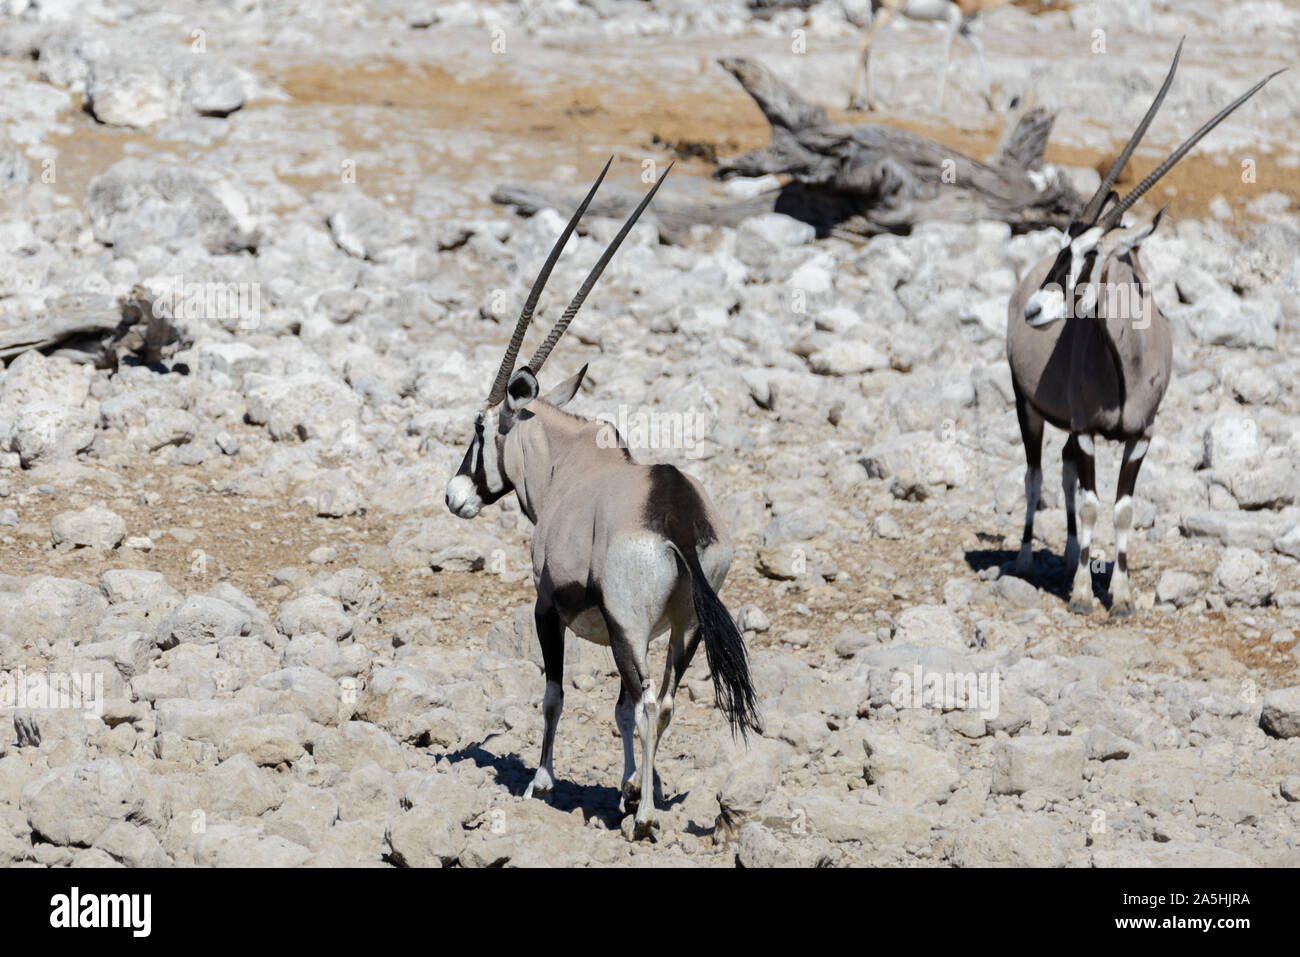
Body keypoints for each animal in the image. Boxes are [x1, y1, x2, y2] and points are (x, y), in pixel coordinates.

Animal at [444, 160, 761, 839]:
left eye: (480, 427)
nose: (456, 495)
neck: (570, 464)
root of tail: (675, 514)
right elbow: (616, 709)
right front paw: (625, 785)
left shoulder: (546, 607)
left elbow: (556, 694)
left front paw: (542, 780)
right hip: (685, 629)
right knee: (659, 703)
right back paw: (641, 800)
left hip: (629, 625)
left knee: (643, 702)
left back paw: (643, 819)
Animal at [848, 0, 1011, 112]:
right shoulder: (955, 18)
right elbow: (947, 56)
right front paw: (938, 105)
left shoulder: (962, 25)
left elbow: (978, 46)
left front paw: (991, 104)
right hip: (891, 10)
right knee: (864, 41)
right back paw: (852, 101)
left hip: (875, 9)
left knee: (868, 46)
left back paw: (871, 104)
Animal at [1008, 40, 1281, 617]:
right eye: (1064, 243)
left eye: (1092, 253)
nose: (1035, 310)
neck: (1124, 362)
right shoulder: (1088, 430)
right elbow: (1093, 505)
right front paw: (1083, 597)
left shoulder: (1141, 436)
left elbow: (1123, 508)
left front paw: (1123, 595)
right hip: (1028, 409)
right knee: (1036, 475)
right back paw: (1024, 560)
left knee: (1061, 472)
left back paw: (1072, 556)